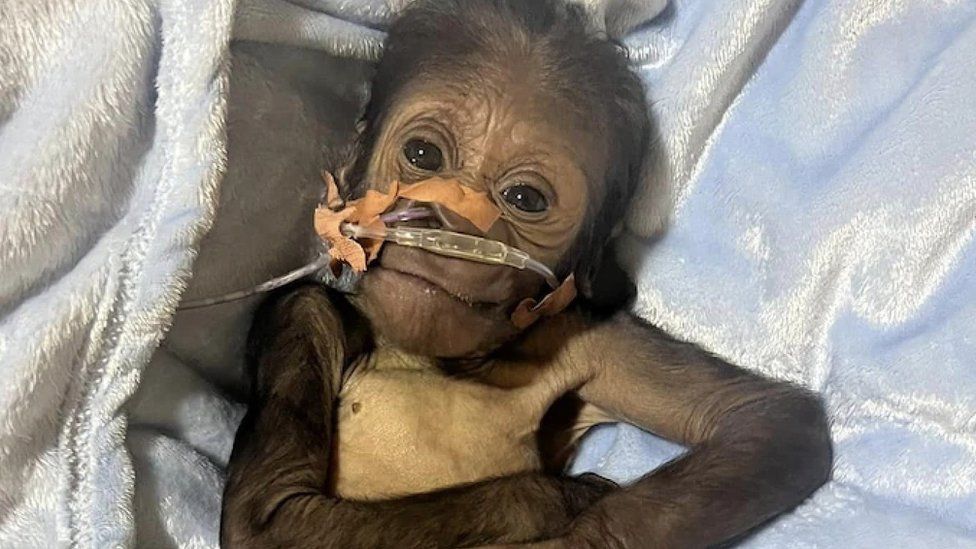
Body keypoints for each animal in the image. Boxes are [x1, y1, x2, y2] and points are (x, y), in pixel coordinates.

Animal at [221, 0, 833, 547]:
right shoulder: (298, 316)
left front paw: (586, 526)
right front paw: (571, 497)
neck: (434, 362)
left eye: (524, 198)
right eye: (422, 154)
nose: (448, 224)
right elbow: (271, 516)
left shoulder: (590, 333)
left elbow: (769, 420)